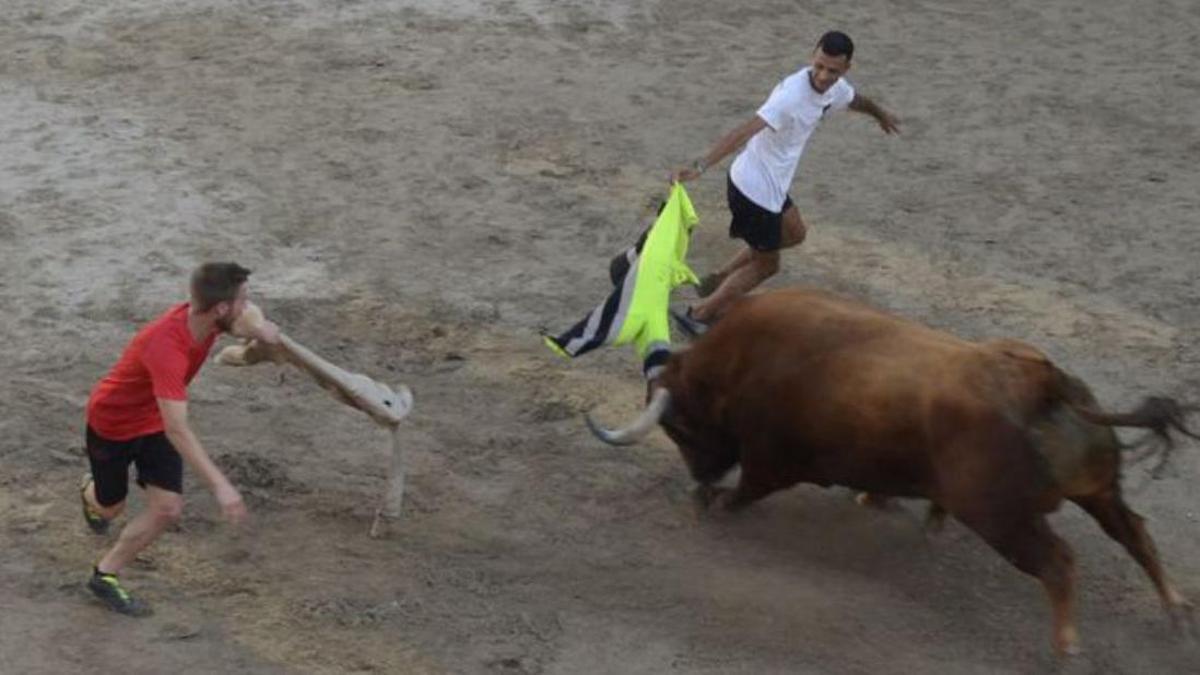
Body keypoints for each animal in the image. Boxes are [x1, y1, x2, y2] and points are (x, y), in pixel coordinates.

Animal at [585, 288, 1195, 653]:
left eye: (680, 428)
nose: (701, 476)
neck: (738, 362)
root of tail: (1042, 384)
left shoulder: (772, 461)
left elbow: (746, 492)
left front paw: (708, 503)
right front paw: (886, 505)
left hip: (1002, 519)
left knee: (1059, 563)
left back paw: (1067, 645)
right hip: (1098, 490)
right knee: (1135, 534)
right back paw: (1176, 611)